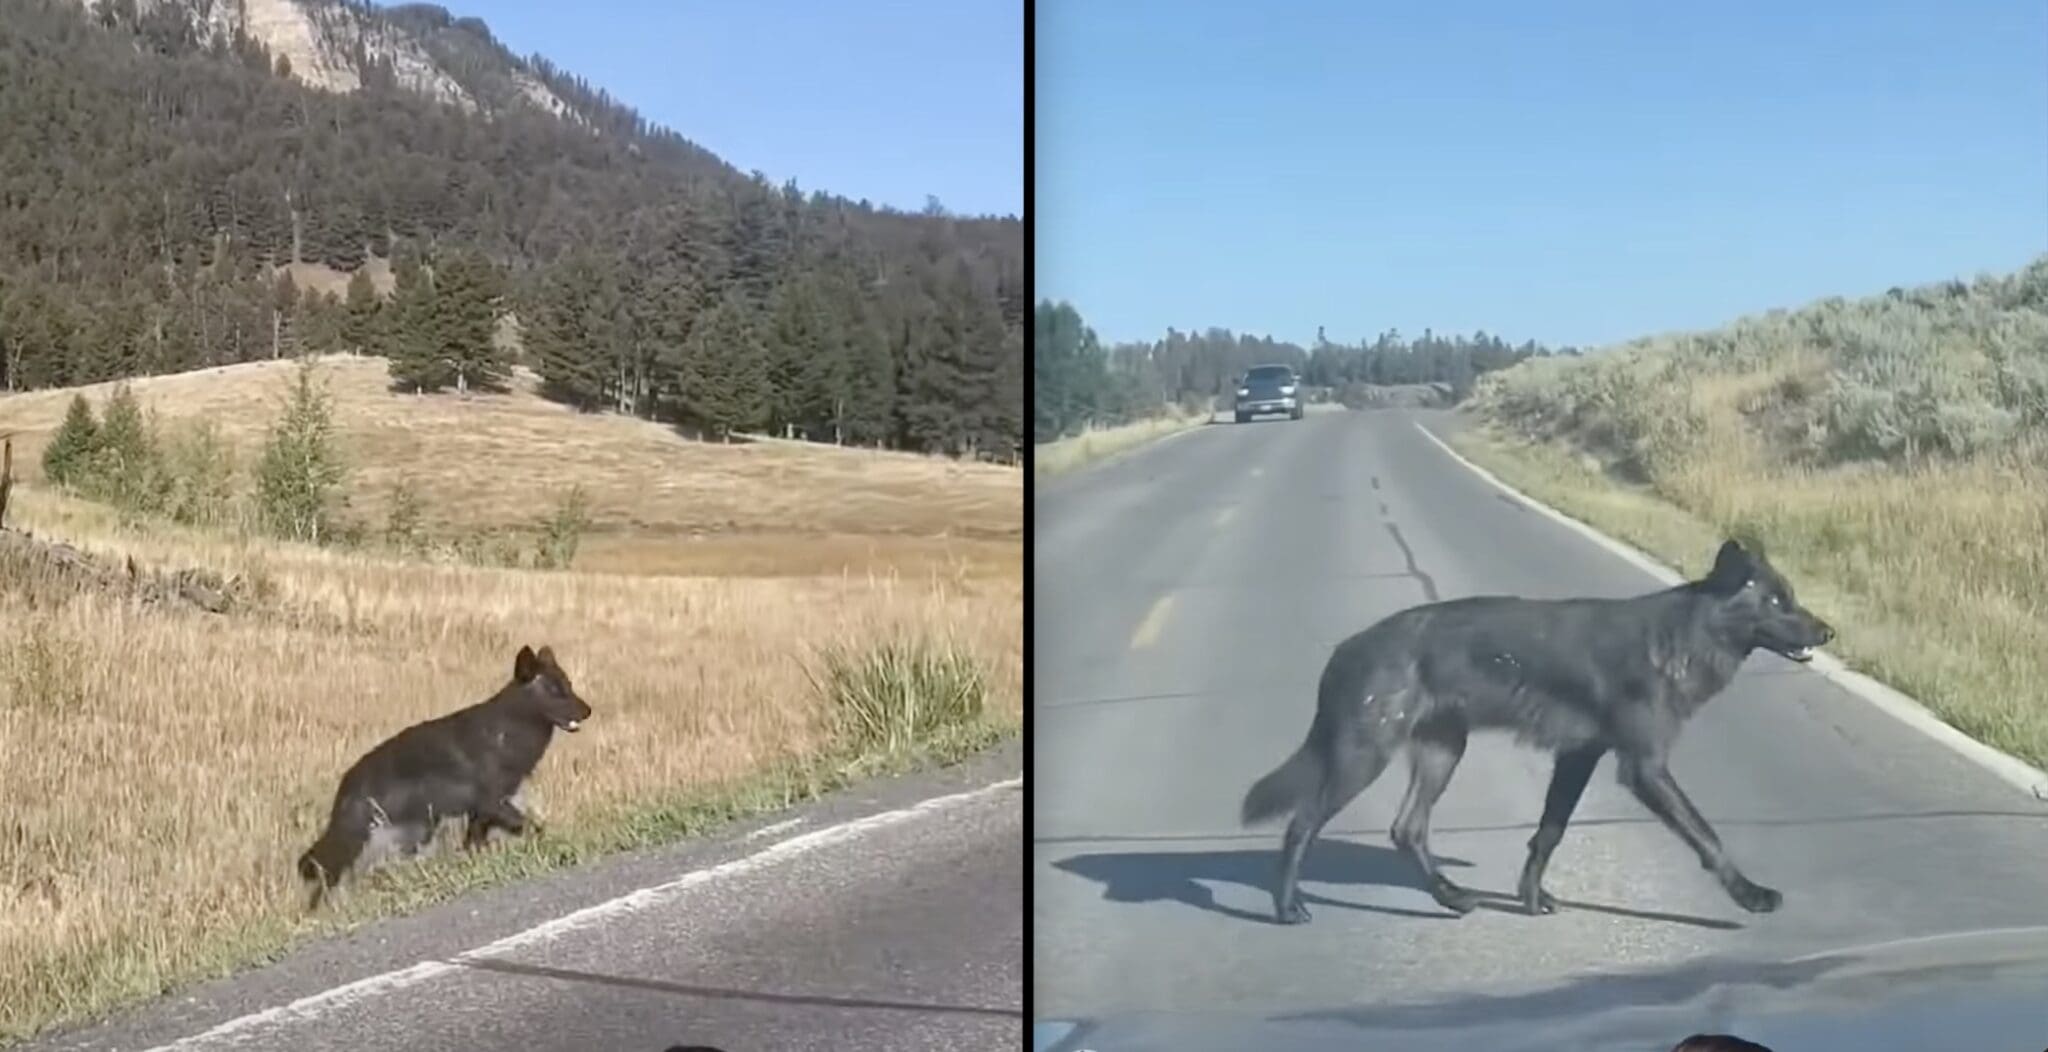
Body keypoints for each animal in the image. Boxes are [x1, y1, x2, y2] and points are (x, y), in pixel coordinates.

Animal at [297, 644, 593, 908]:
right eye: (555, 691)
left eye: (569, 684)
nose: (588, 711)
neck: (505, 731)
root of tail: (346, 784)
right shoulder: (493, 804)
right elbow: (535, 828)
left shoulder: (482, 813)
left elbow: (475, 844)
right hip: (370, 841)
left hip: (414, 832)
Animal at [1240, 539, 1834, 923]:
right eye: (1775, 601)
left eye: (1791, 596)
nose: (1829, 631)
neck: (1681, 636)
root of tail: (1344, 650)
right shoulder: (1644, 768)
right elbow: (1706, 835)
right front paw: (1749, 895)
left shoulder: (1578, 758)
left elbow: (1549, 832)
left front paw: (1529, 899)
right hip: (1365, 757)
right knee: (1302, 825)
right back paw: (1287, 907)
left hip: (1442, 752)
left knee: (1407, 830)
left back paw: (1452, 897)